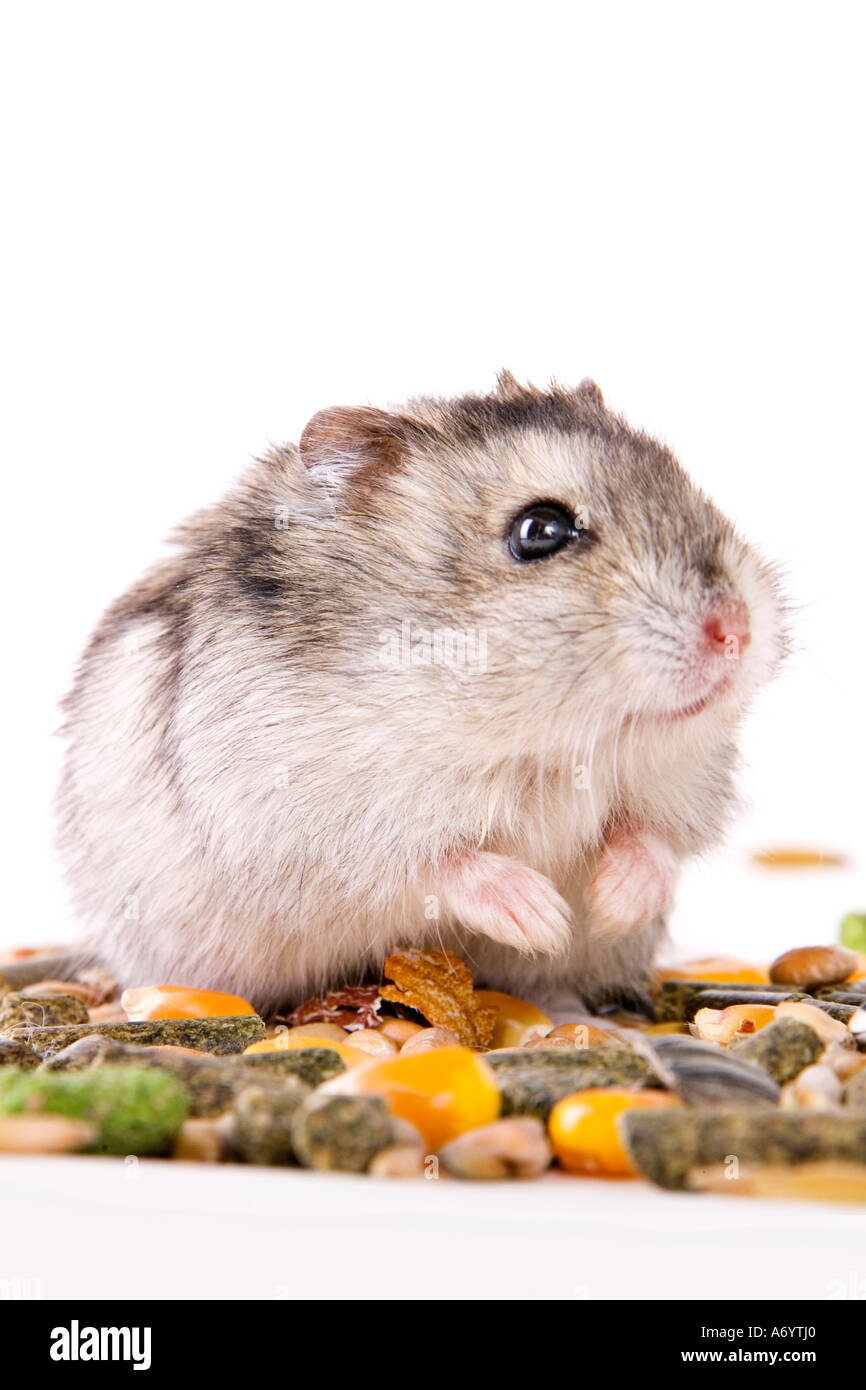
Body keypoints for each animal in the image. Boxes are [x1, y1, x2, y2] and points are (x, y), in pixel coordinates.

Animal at [56, 373, 787, 1016]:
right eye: (541, 530)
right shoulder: (324, 829)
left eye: (683, 480)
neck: (537, 740)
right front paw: (541, 914)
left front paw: (611, 904)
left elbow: (653, 836)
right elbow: (440, 864)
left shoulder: (682, 780)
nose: (737, 633)